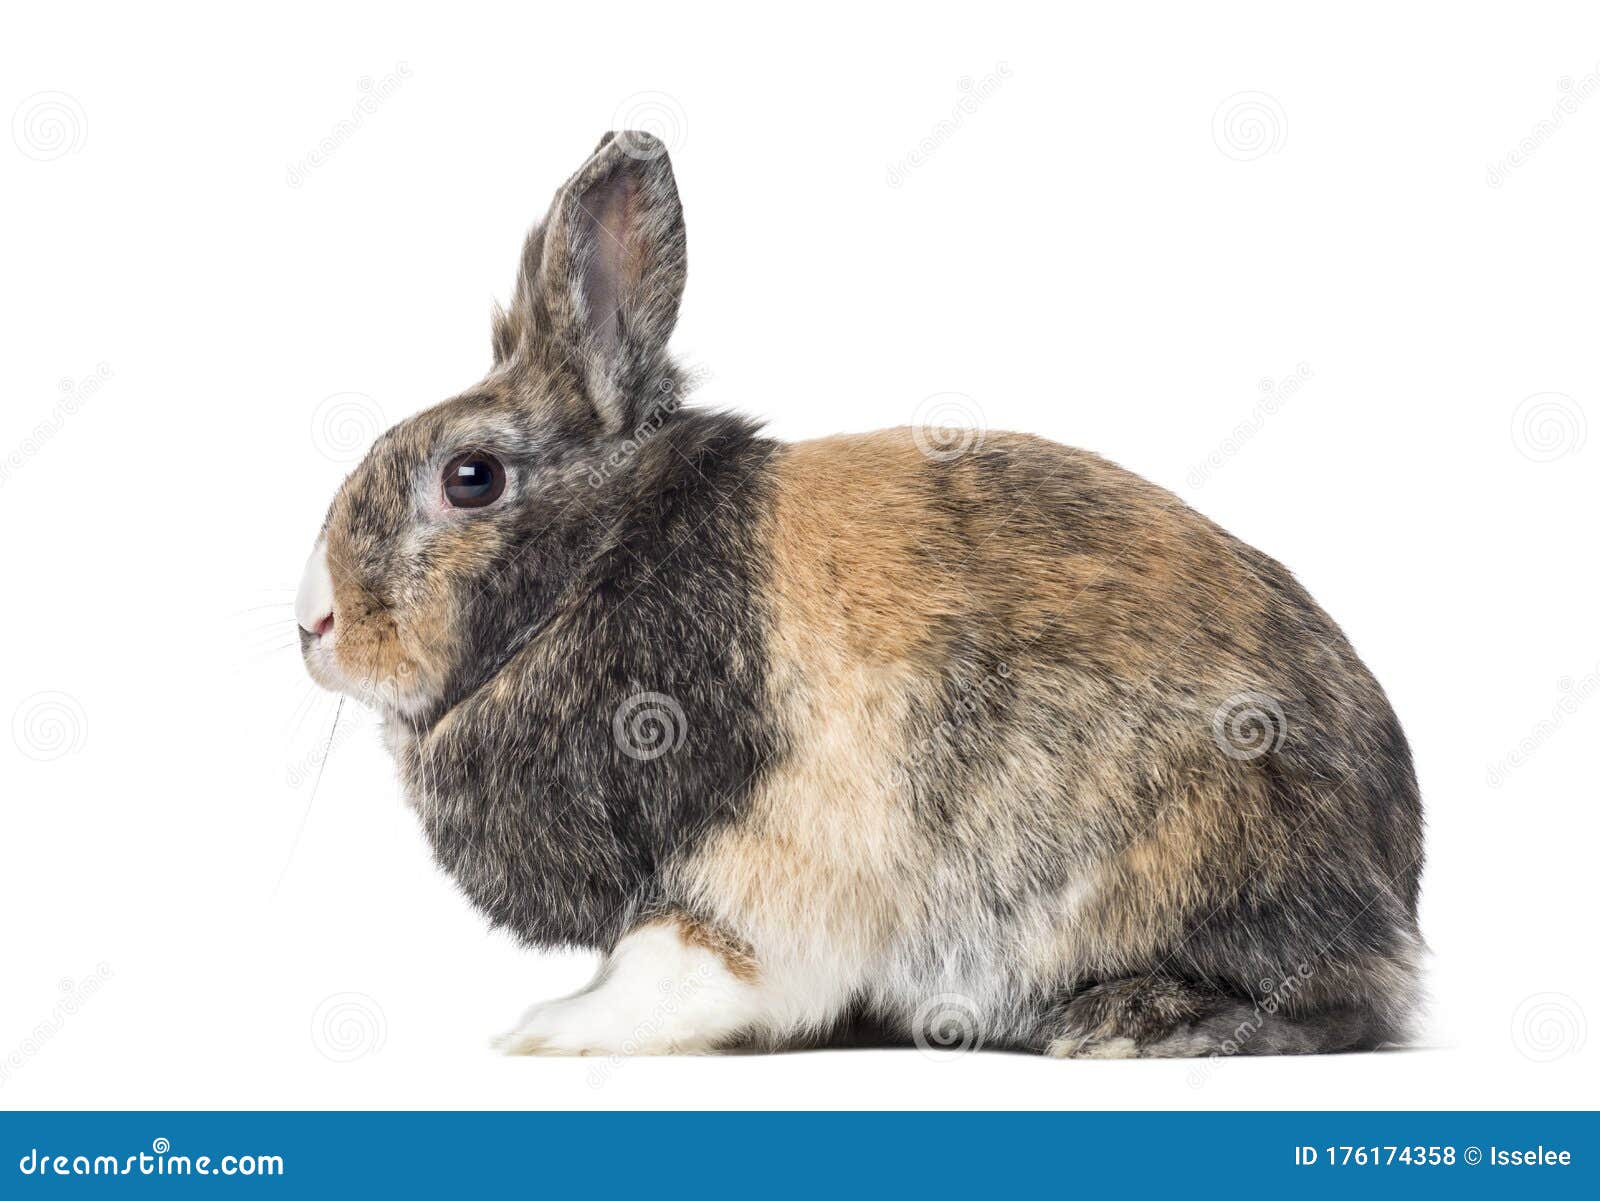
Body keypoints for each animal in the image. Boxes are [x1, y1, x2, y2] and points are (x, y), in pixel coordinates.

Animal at [295, 130, 1423, 1058]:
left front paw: (554, 1031)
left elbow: (686, 958)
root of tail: (1394, 882)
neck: (597, 563)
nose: (316, 624)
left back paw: (1133, 1022)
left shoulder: (748, 861)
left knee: (1338, 1005)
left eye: (471, 477)